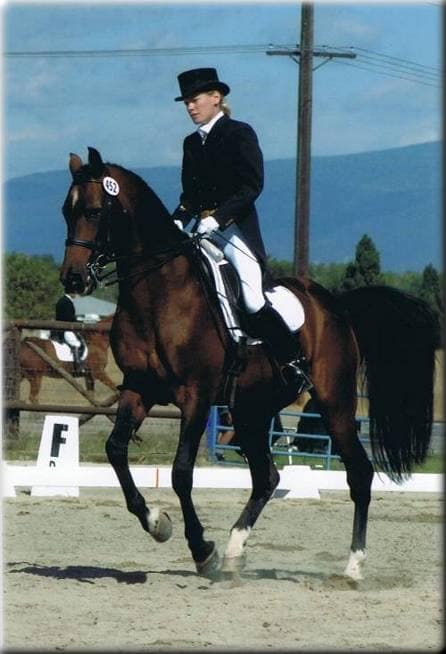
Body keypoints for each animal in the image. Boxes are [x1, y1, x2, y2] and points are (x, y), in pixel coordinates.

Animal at [59, 147, 439, 580]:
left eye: (93, 211)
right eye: (65, 211)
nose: (73, 279)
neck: (158, 294)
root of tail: (336, 307)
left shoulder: (195, 397)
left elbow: (181, 471)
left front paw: (201, 550)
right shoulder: (139, 389)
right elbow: (115, 450)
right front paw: (158, 524)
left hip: (334, 404)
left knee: (358, 473)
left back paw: (353, 566)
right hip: (251, 412)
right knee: (266, 477)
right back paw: (235, 550)